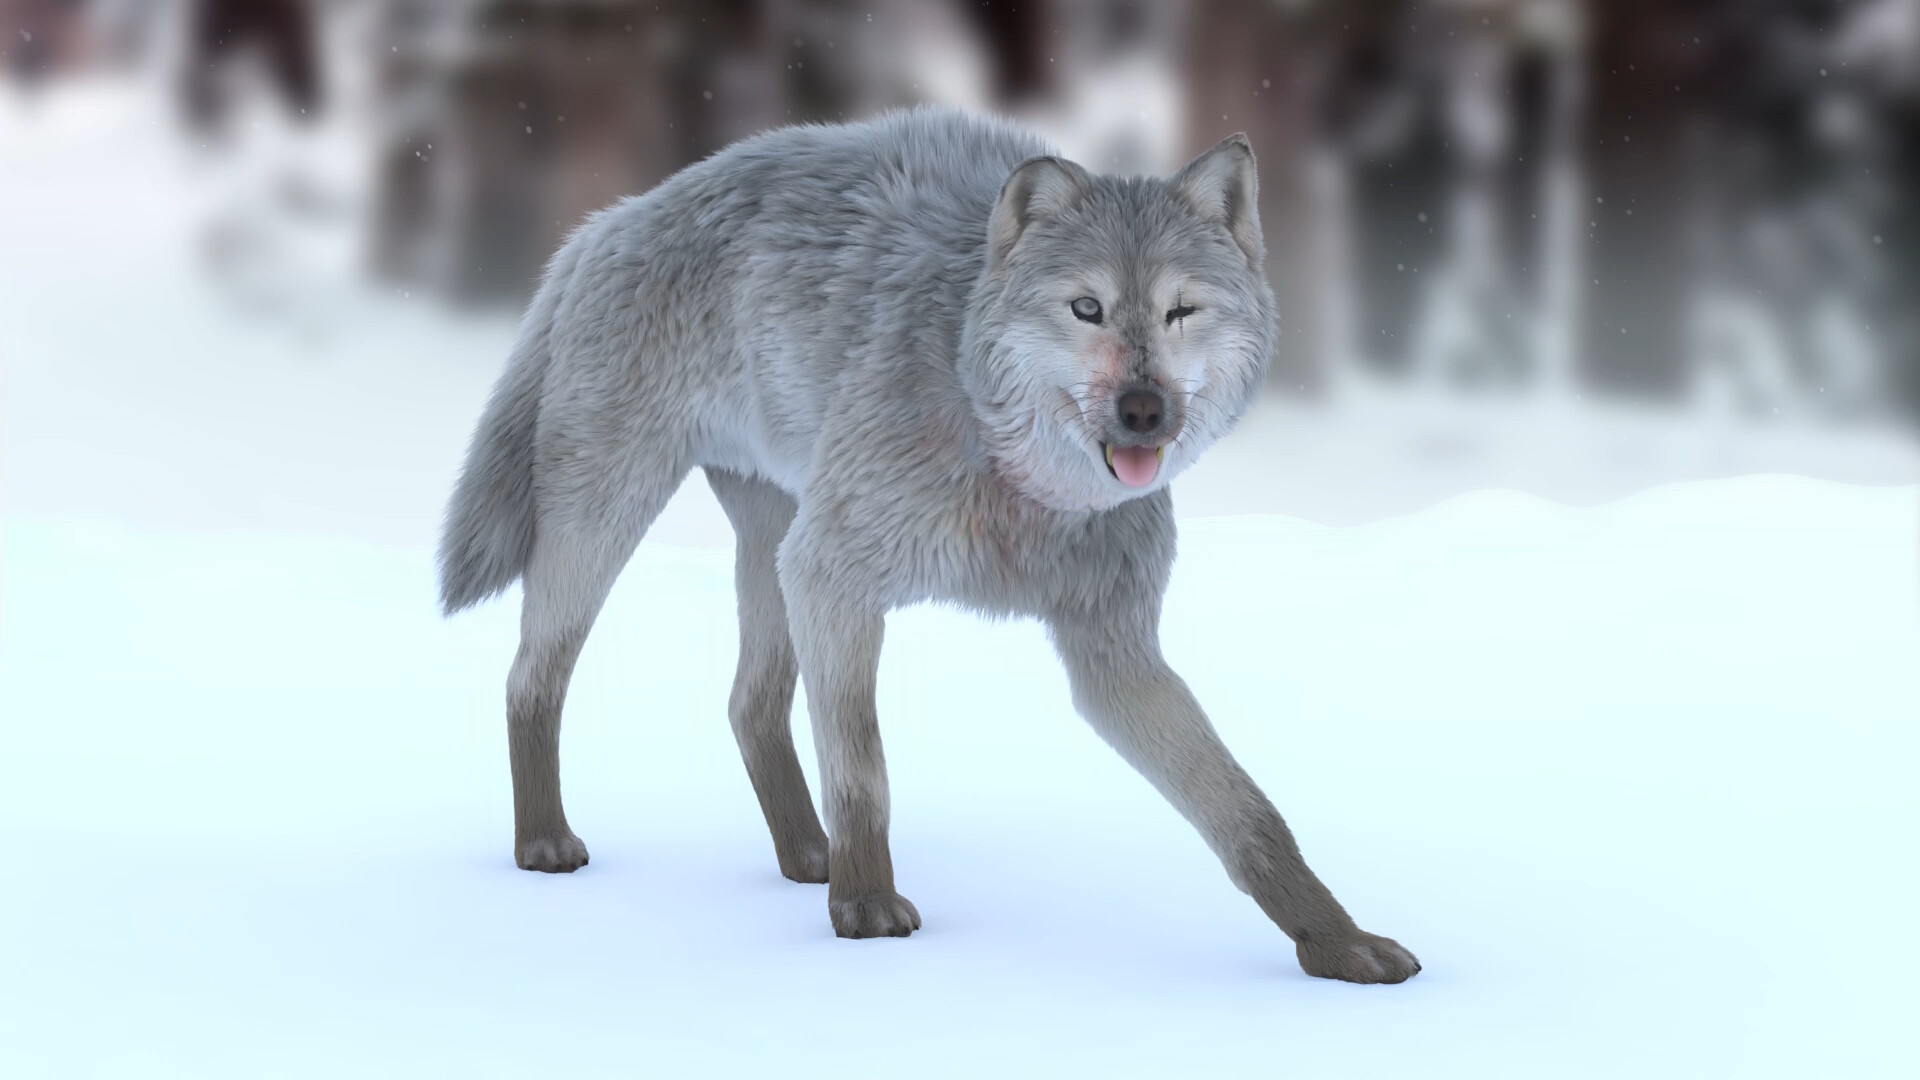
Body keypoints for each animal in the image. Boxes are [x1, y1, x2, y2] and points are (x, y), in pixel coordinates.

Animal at [438, 107, 1419, 983]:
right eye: (1087, 308)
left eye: (1181, 311)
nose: (1145, 410)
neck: (1016, 480)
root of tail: (610, 217)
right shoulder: (835, 580)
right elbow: (864, 768)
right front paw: (867, 909)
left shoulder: (1114, 655)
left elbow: (1245, 811)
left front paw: (1339, 946)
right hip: (614, 520)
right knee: (531, 677)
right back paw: (547, 843)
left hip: (772, 547)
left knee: (748, 705)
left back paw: (808, 855)